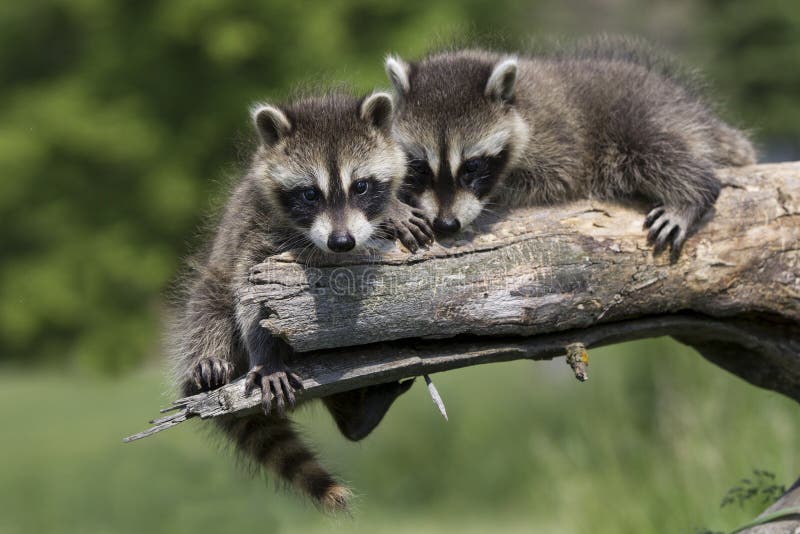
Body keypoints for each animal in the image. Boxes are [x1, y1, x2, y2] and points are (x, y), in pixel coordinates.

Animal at [170, 91, 431, 512]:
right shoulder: (256, 229)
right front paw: (267, 355)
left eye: (361, 186)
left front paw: (393, 208)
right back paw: (209, 359)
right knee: (209, 302)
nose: (342, 242)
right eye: (310, 193)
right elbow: (251, 295)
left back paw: (354, 415)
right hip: (210, 289)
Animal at [385, 38, 756, 254]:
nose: (446, 225)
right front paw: (395, 204)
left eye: (472, 167)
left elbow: (548, 178)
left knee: (657, 154)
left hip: (644, 117)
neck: (519, 104)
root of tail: (693, 109)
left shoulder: (559, 141)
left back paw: (693, 194)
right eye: (421, 167)